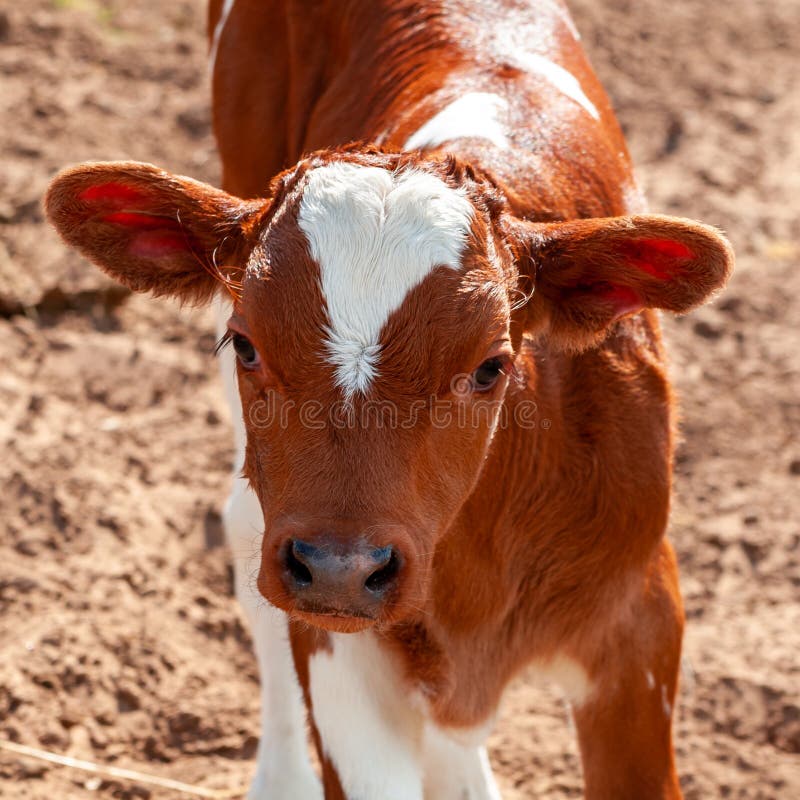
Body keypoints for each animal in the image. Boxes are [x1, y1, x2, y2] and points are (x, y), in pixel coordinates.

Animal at [45, 1, 733, 798]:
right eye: (246, 344)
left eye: (490, 366)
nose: (339, 568)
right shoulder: (338, 651)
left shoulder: (639, 622)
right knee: (244, 521)